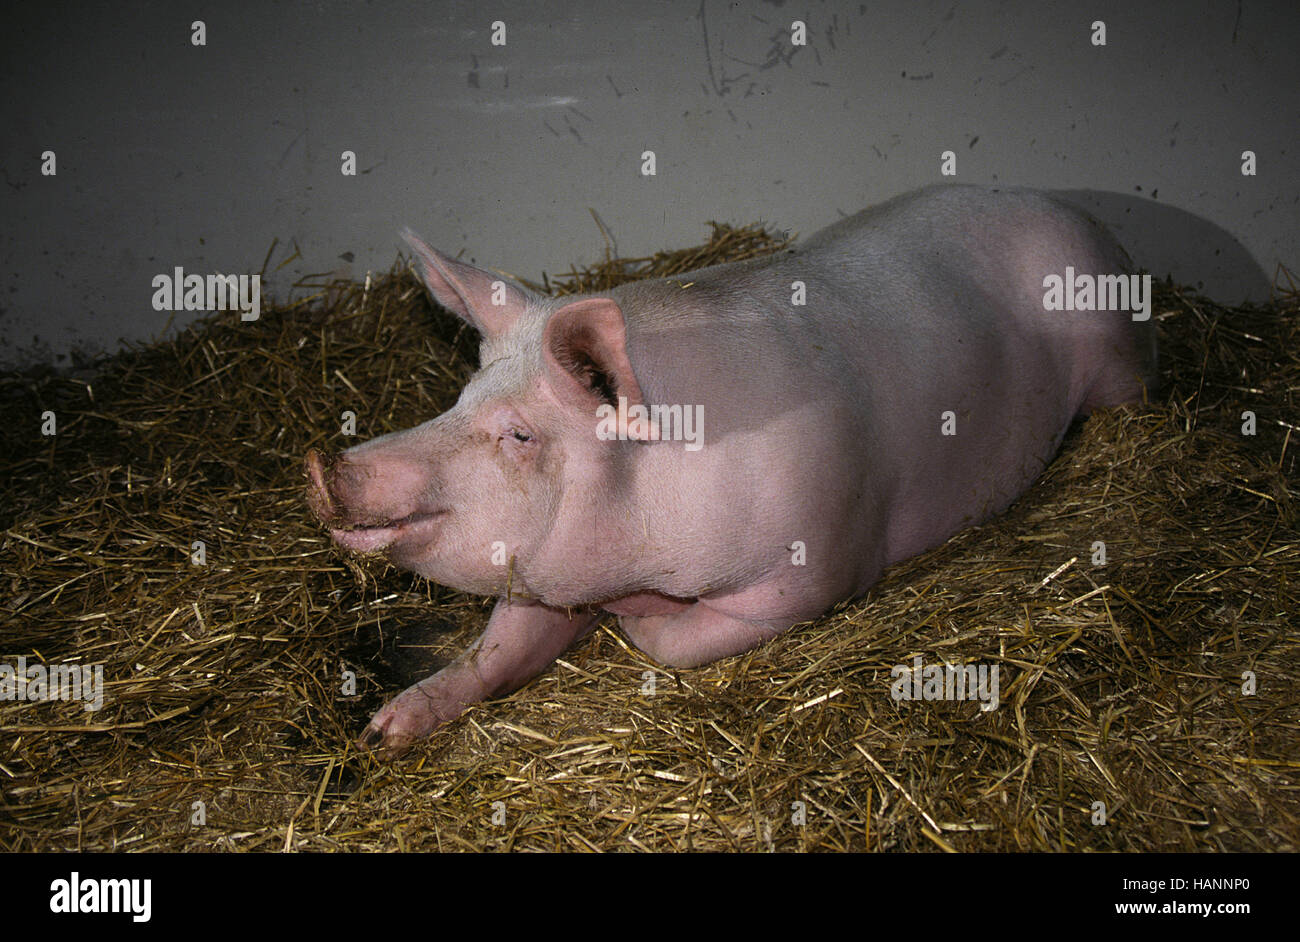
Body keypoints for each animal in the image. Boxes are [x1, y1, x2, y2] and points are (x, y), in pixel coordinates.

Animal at [305, 184, 1155, 753]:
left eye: (518, 435)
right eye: (458, 399)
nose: (323, 463)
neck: (636, 559)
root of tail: (1071, 209)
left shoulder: (814, 570)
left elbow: (672, 644)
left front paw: (643, 625)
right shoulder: (542, 575)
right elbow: (497, 651)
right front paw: (384, 730)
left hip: (1115, 350)